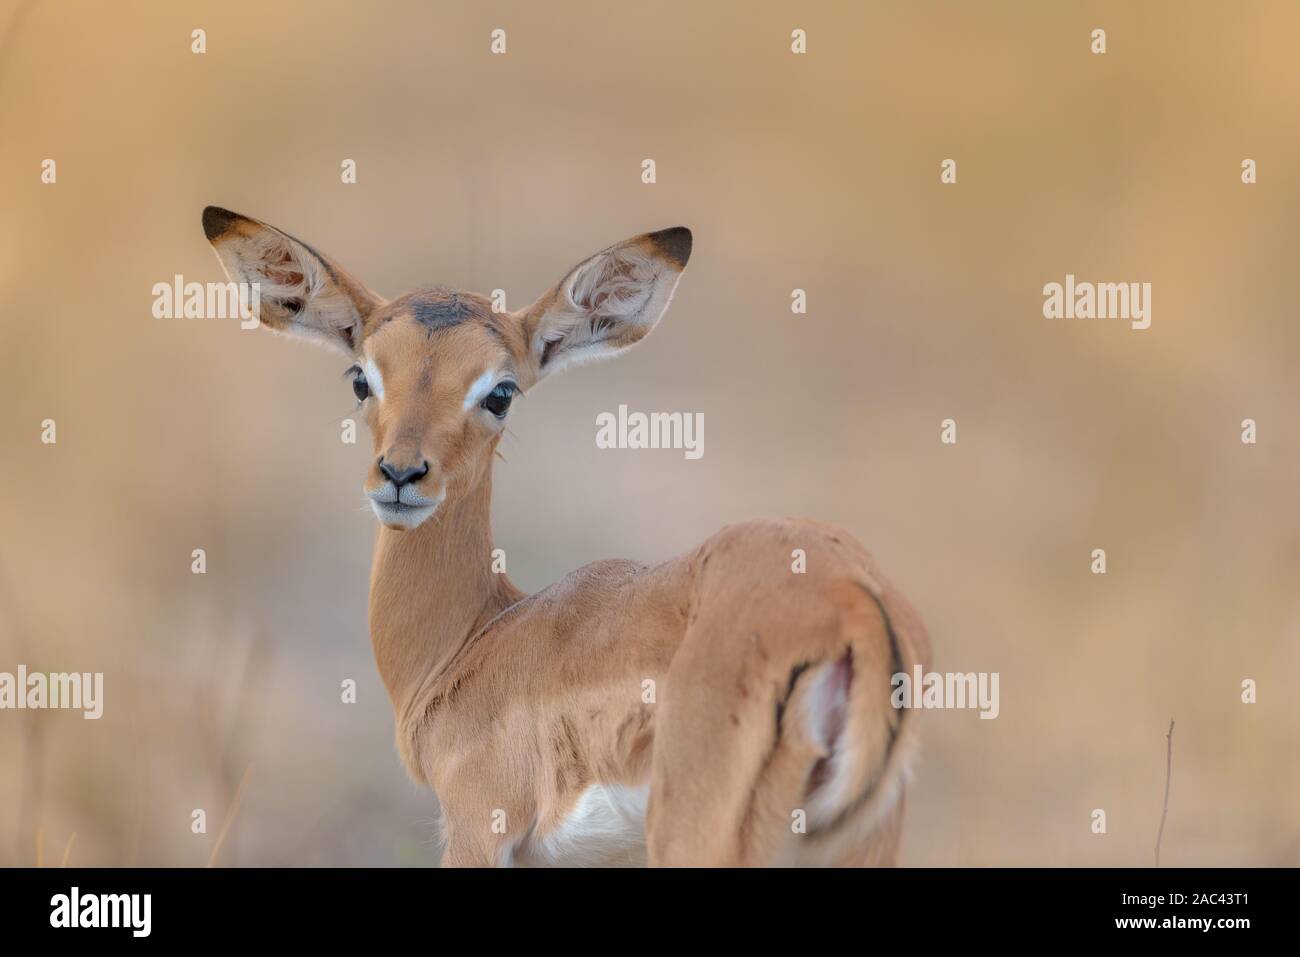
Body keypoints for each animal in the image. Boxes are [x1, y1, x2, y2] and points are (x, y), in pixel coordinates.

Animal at [202, 206, 931, 867]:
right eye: (362, 377)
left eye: (500, 392)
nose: (401, 475)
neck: (478, 638)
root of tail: (853, 602)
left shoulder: (478, 829)